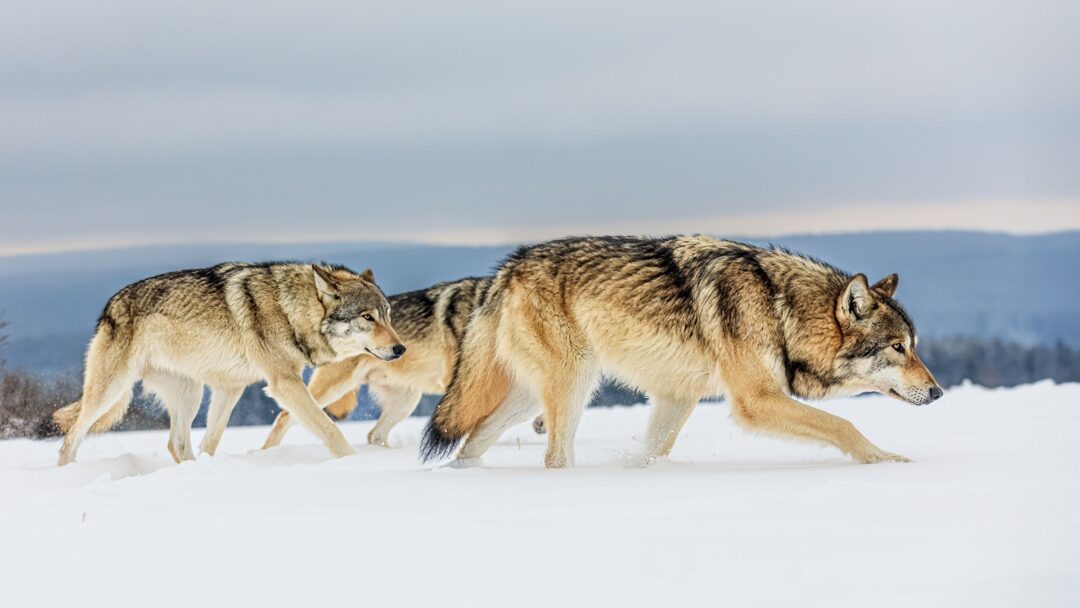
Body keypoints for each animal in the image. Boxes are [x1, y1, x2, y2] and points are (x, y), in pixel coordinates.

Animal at [51, 262, 404, 466]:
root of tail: (110, 305)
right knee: (71, 437)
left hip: (190, 394)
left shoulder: (230, 387)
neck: (290, 309)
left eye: (387, 315)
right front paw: (355, 465)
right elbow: (330, 428)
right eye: (367, 318)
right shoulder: (285, 384)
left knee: (177, 443)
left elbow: (211, 440)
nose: (401, 349)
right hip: (110, 391)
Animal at [420, 235, 942, 468]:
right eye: (898, 348)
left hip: (529, 397)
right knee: (553, 457)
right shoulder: (755, 400)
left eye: (914, 347)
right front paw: (885, 460)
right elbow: (843, 424)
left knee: (471, 441)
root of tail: (507, 267)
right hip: (573, 385)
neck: (781, 309)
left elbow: (653, 451)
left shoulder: (678, 397)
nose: (938, 393)